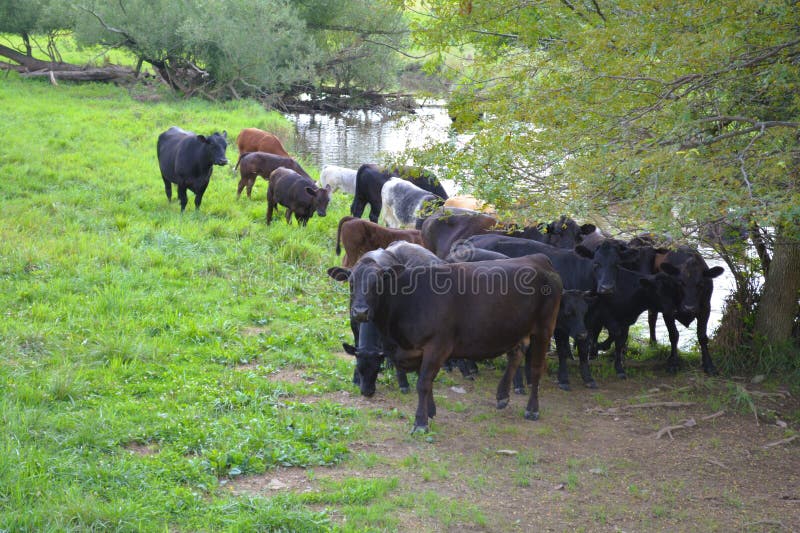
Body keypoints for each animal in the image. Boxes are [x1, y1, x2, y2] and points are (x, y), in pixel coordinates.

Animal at [328, 253, 562, 433]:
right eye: (351, 282)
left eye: (378, 282)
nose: (360, 312)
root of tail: (538, 258)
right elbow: (427, 382)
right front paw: (430, 412)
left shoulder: (437, 346)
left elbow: (423, 383)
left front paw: (420, 422)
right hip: (517, 329)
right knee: (516, 354)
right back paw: (502, 396)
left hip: (545, 327)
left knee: (536, 369)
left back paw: (532, 409)